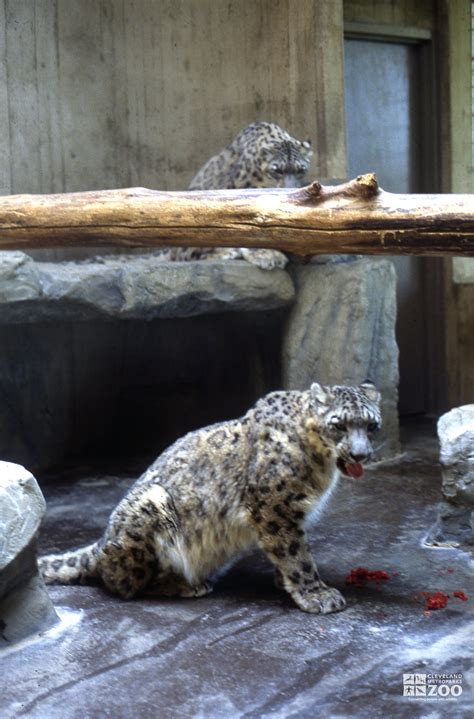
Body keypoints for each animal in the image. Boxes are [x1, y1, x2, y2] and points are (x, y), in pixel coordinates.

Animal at [39, 380, 381, 615]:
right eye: (339, 425)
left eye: (372, 425)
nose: (360, 455)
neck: (323, 469)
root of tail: (101, 541)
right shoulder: (274, 505)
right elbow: (295, 552)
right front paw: (316, 594)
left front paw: (284, 581)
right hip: (152, 506)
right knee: (122, 583)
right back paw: (187, 584)